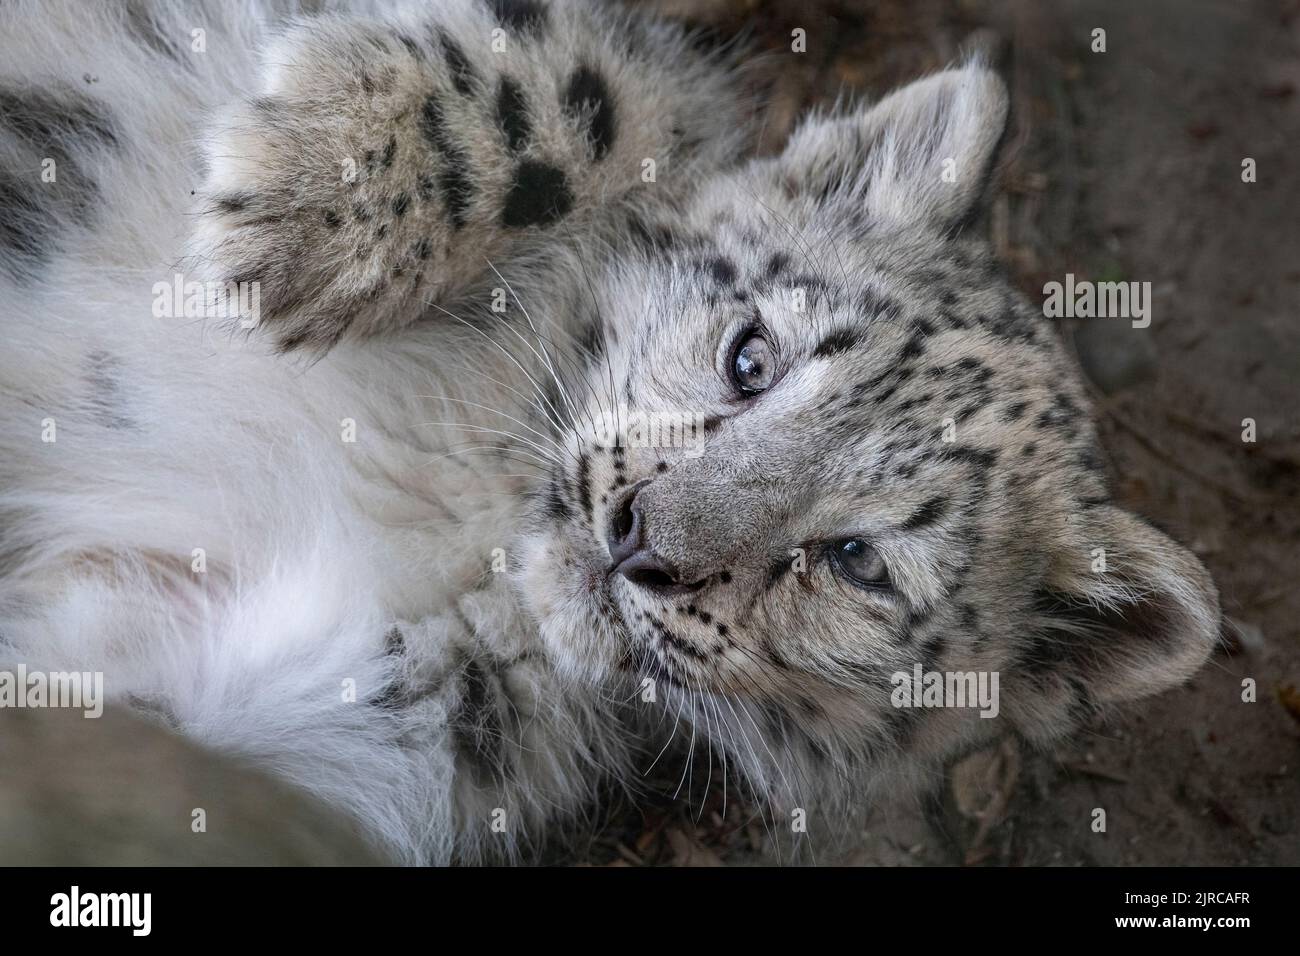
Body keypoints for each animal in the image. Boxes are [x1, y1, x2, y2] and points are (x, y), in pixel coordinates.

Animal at [0, 0, 1219, 865]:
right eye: (751, 356)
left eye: (858, 561)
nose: (644, 538)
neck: (462, 504)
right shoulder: (648, 84)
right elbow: (605, 95)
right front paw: (298, 204)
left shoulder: (311, 712)